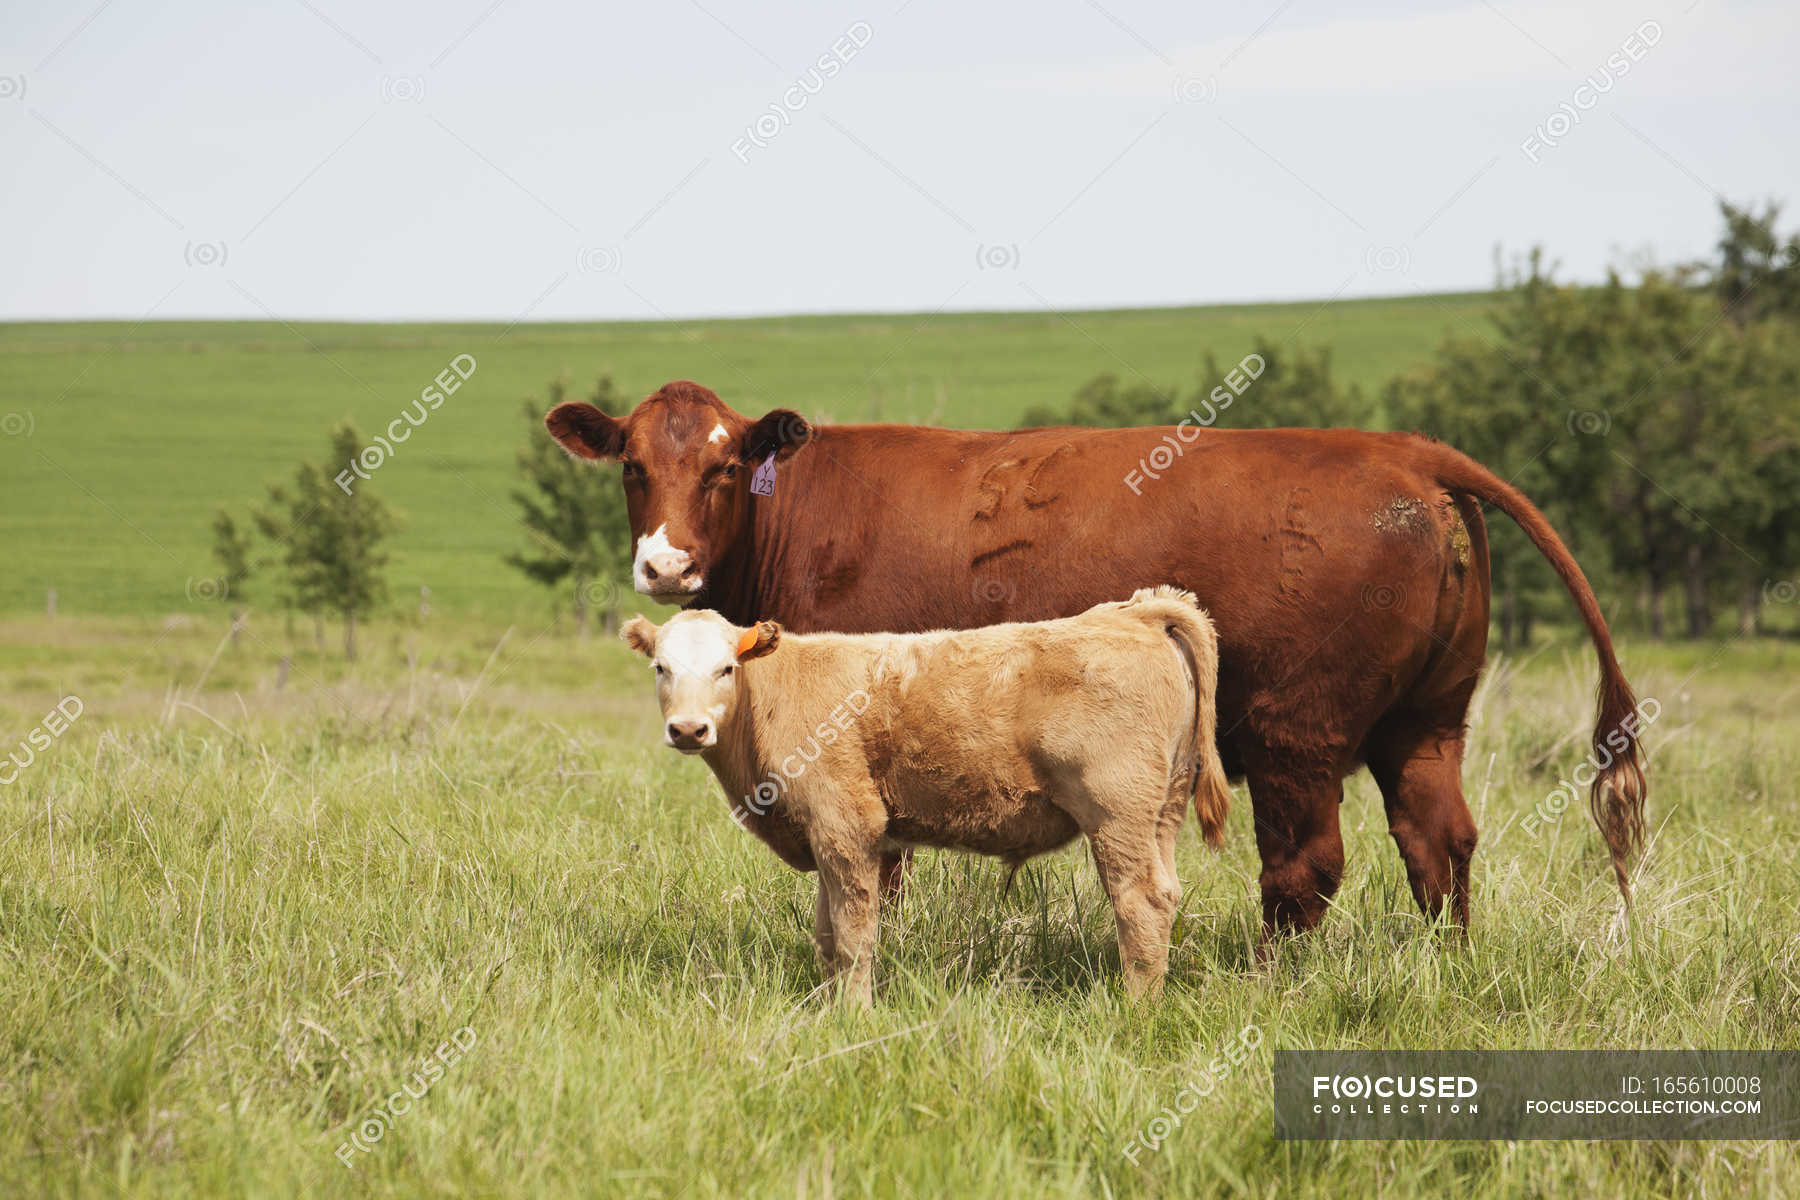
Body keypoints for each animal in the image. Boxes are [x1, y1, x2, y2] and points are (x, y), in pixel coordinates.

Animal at [548, 380, 1648, 948]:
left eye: (728, 465)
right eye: (635, 466)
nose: (665, 562)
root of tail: (1408, 452)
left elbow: (874, 876)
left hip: (1297, 733)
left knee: (1306, 867)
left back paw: (1270, 982)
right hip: (1427, 719)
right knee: (1439, 843)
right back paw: (1438, 966)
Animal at [622, 587, 1234, 1004]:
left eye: (726, 668)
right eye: (661, 667)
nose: (689, 729)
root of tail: (1134, 611)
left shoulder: (847, 824)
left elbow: (853, 934)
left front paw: (855, 1013)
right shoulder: (825, 835)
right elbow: (826, 934)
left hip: (1115, 812)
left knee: (1141, 901)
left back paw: (1135, 1008)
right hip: (1161, 813)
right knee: (1166, 894)